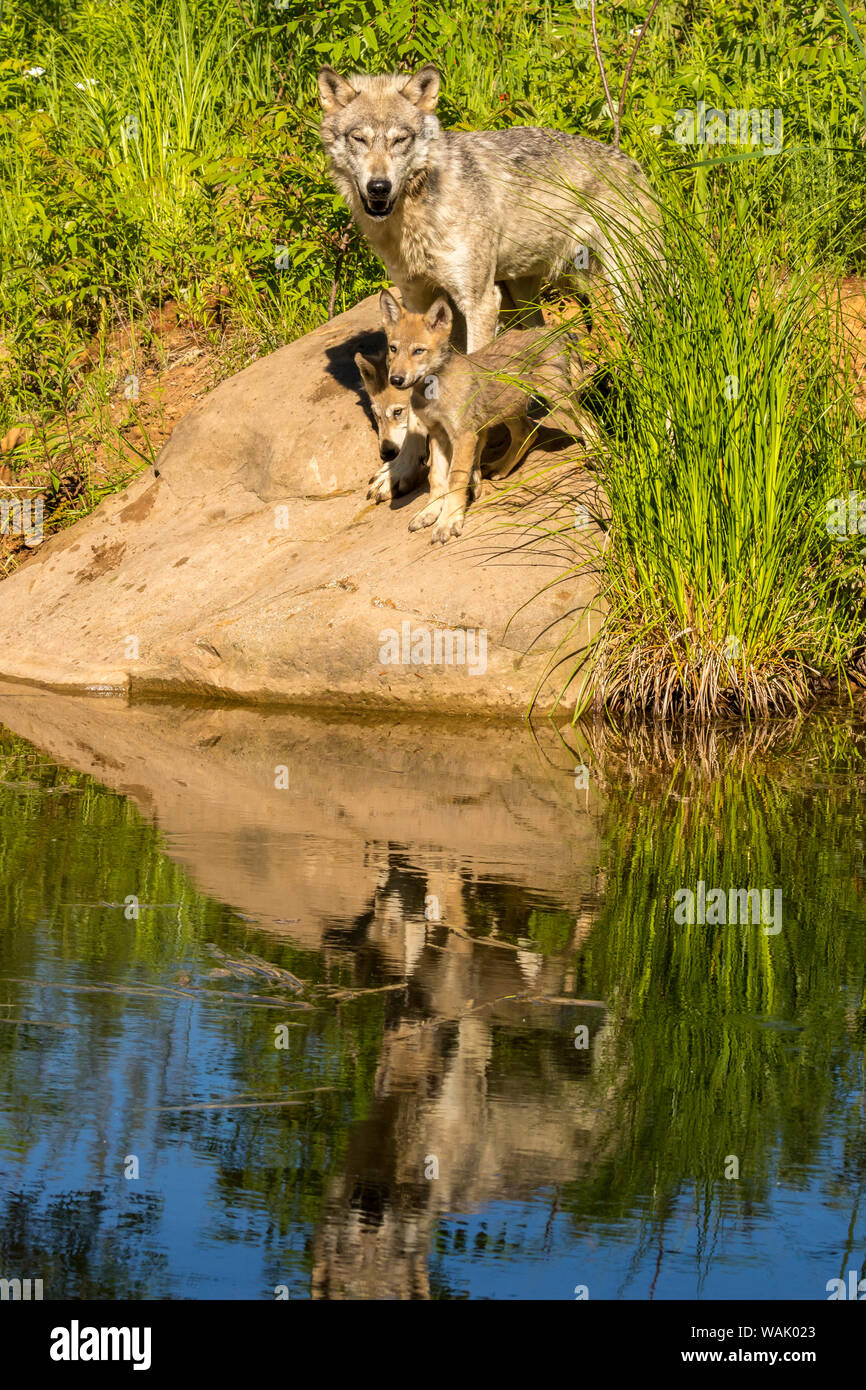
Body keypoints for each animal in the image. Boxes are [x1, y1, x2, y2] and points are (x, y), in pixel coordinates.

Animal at [318, 62, 659, 354]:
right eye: (359, 139)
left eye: (400, 139)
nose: (379, 186)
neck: (417, 218)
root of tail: (634, 165)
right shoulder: (417, 298)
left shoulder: (480, 301)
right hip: (524, 292)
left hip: (627, 288)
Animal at [377, 287, 595, 544]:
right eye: (393, 349)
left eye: (418, 351)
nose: (396, 379)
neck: (433, 394)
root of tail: (552, 331)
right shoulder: (438, 435)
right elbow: (436, 479)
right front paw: (430, 512)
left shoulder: (463, 436)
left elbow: (455, 479)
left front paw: (447, 521)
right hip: (506, 408)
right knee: (527, 433)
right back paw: (501, 468)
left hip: (557, 398)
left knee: (587, 418)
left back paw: (596, 453)